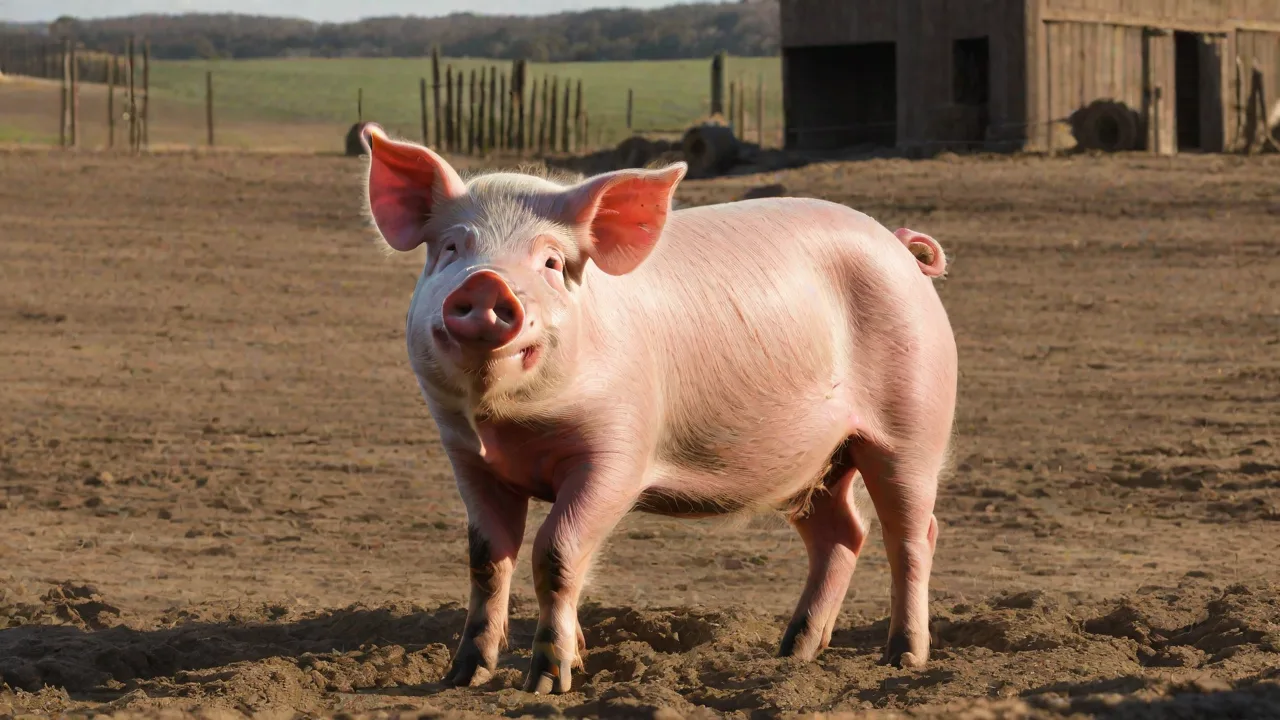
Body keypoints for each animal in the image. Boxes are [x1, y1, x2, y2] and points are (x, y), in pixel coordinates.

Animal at [359, 124, 957, 694]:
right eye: (451, 249)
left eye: (551, 262)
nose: (486, 283)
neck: (511, 426)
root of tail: (898, 245)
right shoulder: (468, 456)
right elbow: (486, 559)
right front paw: (461, 678)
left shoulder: (619, 452)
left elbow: (557, 550)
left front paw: (548, 682)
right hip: (817, 461)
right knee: (841, 535)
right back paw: (793, 652)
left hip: (913, 425)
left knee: (912, 533)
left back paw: (903, 657)